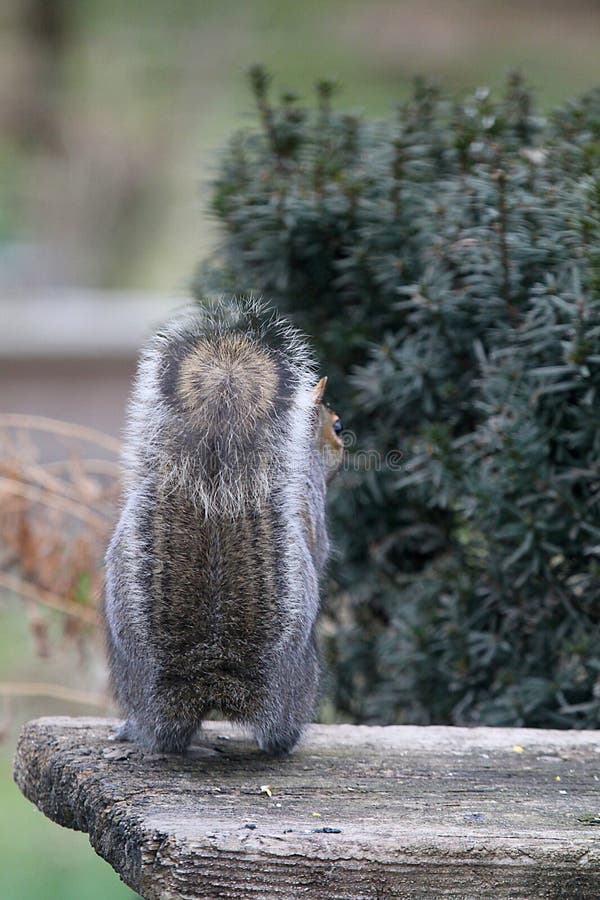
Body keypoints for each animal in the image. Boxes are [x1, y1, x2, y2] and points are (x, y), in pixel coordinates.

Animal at [103, 297, 343, 755]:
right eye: (336, 425)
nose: (345, 445)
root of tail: (214, 669)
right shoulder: (313, 505)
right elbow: (320, 547)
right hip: (302, 677)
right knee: (280, 733)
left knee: (165, 737)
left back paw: (139, 730)